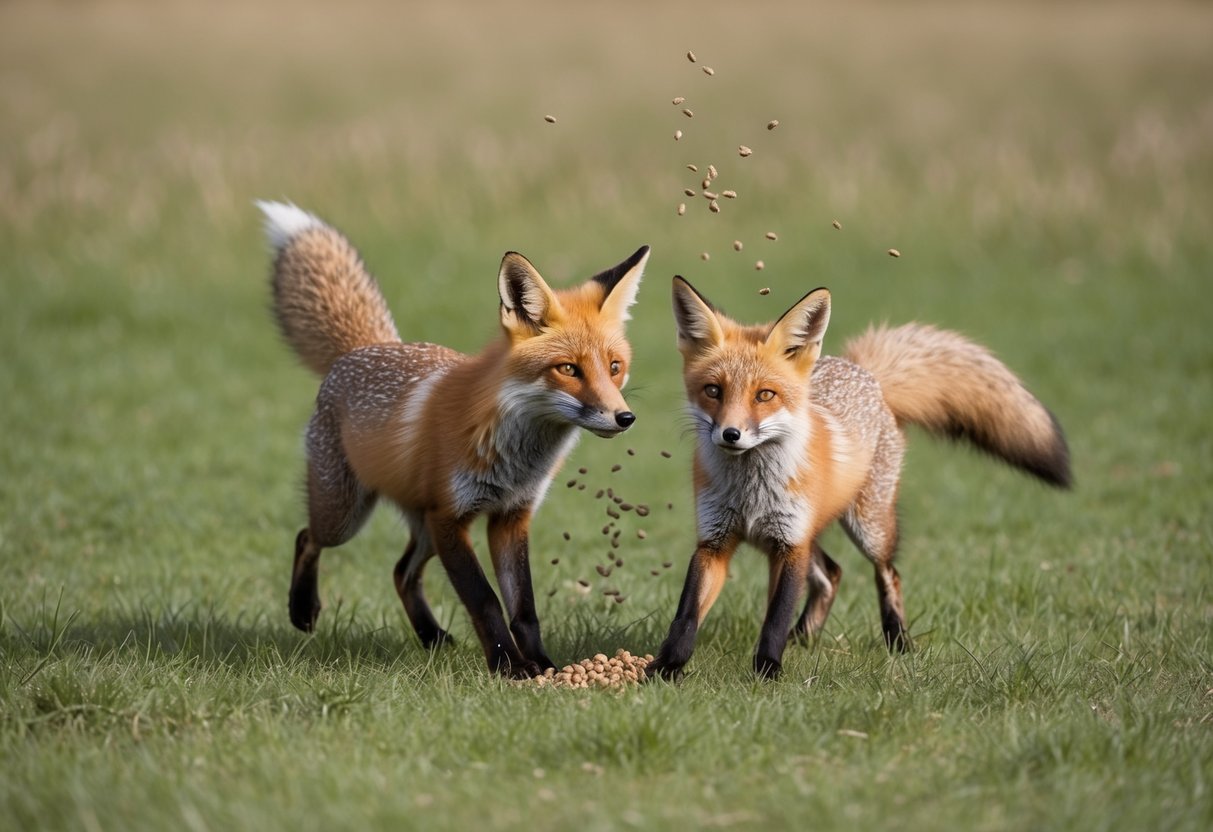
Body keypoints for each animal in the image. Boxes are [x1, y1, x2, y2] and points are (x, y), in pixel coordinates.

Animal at [256, 200, 649, 678]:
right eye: (568, 369)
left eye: (614, 367)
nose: (624, 417)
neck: (515, 456)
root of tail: (363, 349)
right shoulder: (451, 518)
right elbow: (485, 601)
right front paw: (509, 668)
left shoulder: (510, 516)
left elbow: (524, 608)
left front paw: (541, 665)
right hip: (347, 514)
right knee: (306, 538)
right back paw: (303, 609)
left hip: (421, 527)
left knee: (400, 572)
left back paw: (430, 636)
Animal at [648, 276, 1071, 680]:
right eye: (713, 391)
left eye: (764, 395)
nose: (730, 434)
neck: (750, 492)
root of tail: (865, 373)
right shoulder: (716, 543)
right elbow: (686, 616)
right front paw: (665, 670)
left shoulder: (791, 545)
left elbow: (774, 619)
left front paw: (767, 673)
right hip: (801, 537)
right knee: (832, 573)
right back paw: (804, 638)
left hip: (867, 528)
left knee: (888, 574)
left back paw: (897, 642)